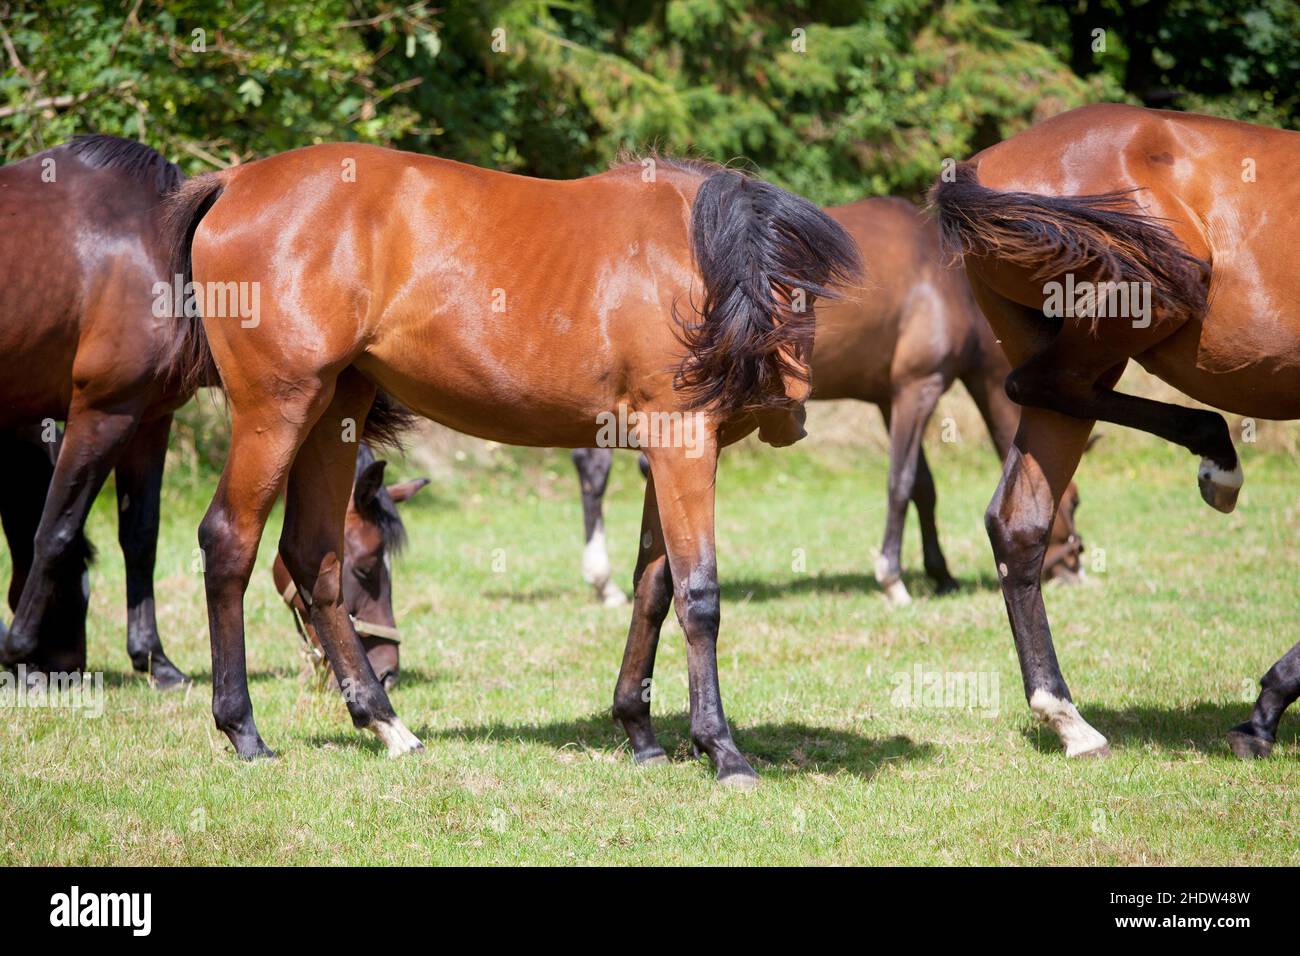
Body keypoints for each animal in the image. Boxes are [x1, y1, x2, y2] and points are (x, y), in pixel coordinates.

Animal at [0, 136, 192, 687]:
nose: (68, 665)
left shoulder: (147, 419)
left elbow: (141, 536)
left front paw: (154, 660)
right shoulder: (101, 412)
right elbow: (55, 531)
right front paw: (16, 649)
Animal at [572, 197, 1089, 607]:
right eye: (1075, 502)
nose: (1075, 566)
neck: (945, 282)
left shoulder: (888, 399)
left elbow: (923, 487)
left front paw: (941, 574)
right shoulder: (917, 387)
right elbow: (901, 482)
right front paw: (893, 579)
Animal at [932, 102, 1300, 758]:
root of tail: (979, 165)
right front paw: (1263, 715)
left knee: (1019, 519)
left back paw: (1067, 720)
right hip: (1151, 295)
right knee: (1037, 384)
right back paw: (1218, 456)